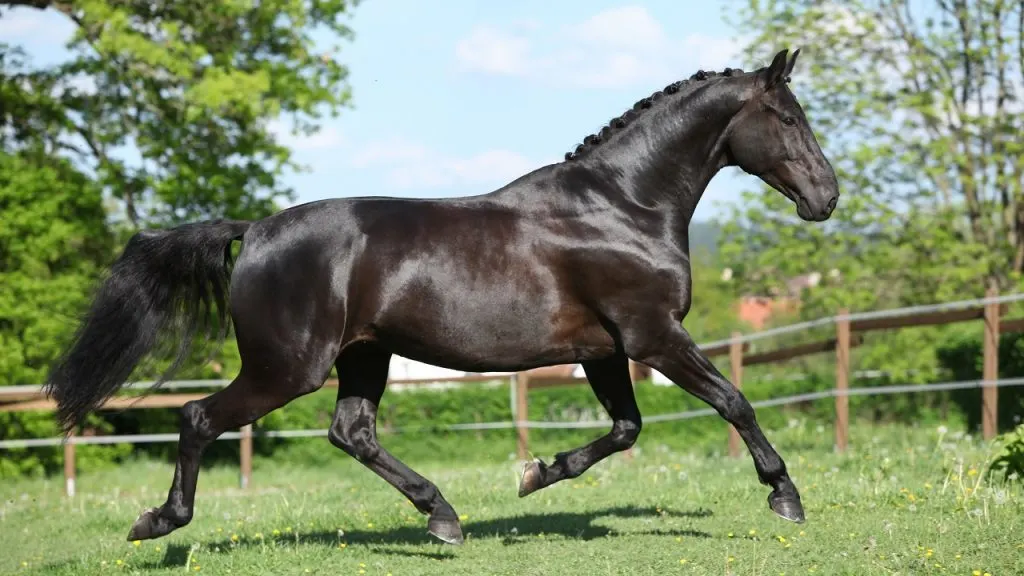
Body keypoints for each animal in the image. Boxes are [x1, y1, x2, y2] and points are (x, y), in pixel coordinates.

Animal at [44, 48, 839, 545]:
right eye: (790, 118)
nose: (826, 198)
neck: (623, 206)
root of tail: (256, 229)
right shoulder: (654, 335)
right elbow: (734, 401)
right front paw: (786, 498)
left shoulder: (605, 350)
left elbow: (625, 430)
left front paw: (535, 475)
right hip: (288, 367)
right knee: (200, 417)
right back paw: (159, 522)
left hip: (364, 357)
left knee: (351, 433)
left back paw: (444, 518)